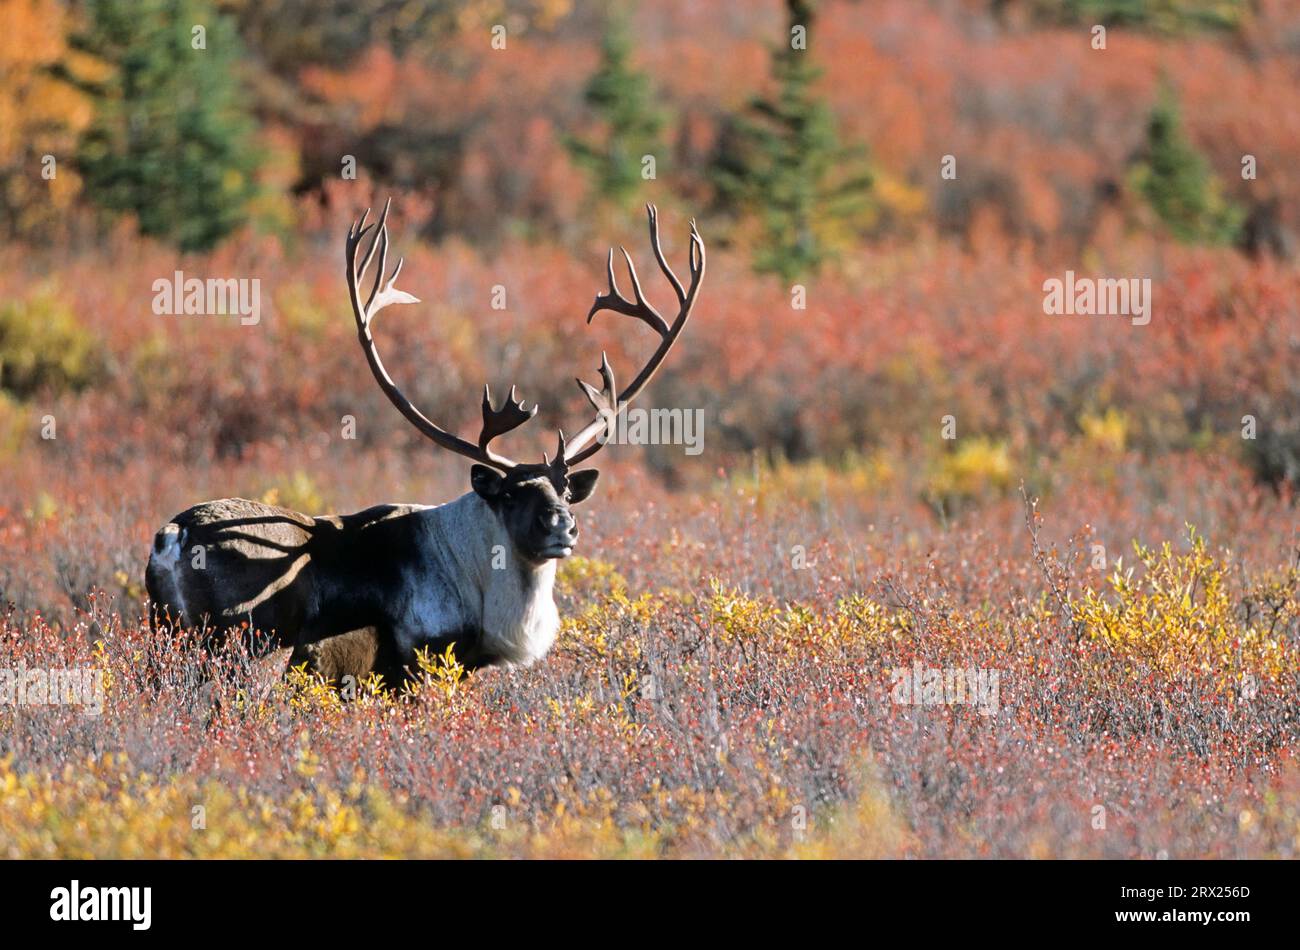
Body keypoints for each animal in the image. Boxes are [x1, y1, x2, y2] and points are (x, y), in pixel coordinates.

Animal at [145, 199, 704, 689]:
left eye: (566, 491)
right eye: (510, 494)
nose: (562, 527)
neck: (477, 578)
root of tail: (174, 535)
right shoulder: (421, 666)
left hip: (164, 638)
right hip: (248, 650)